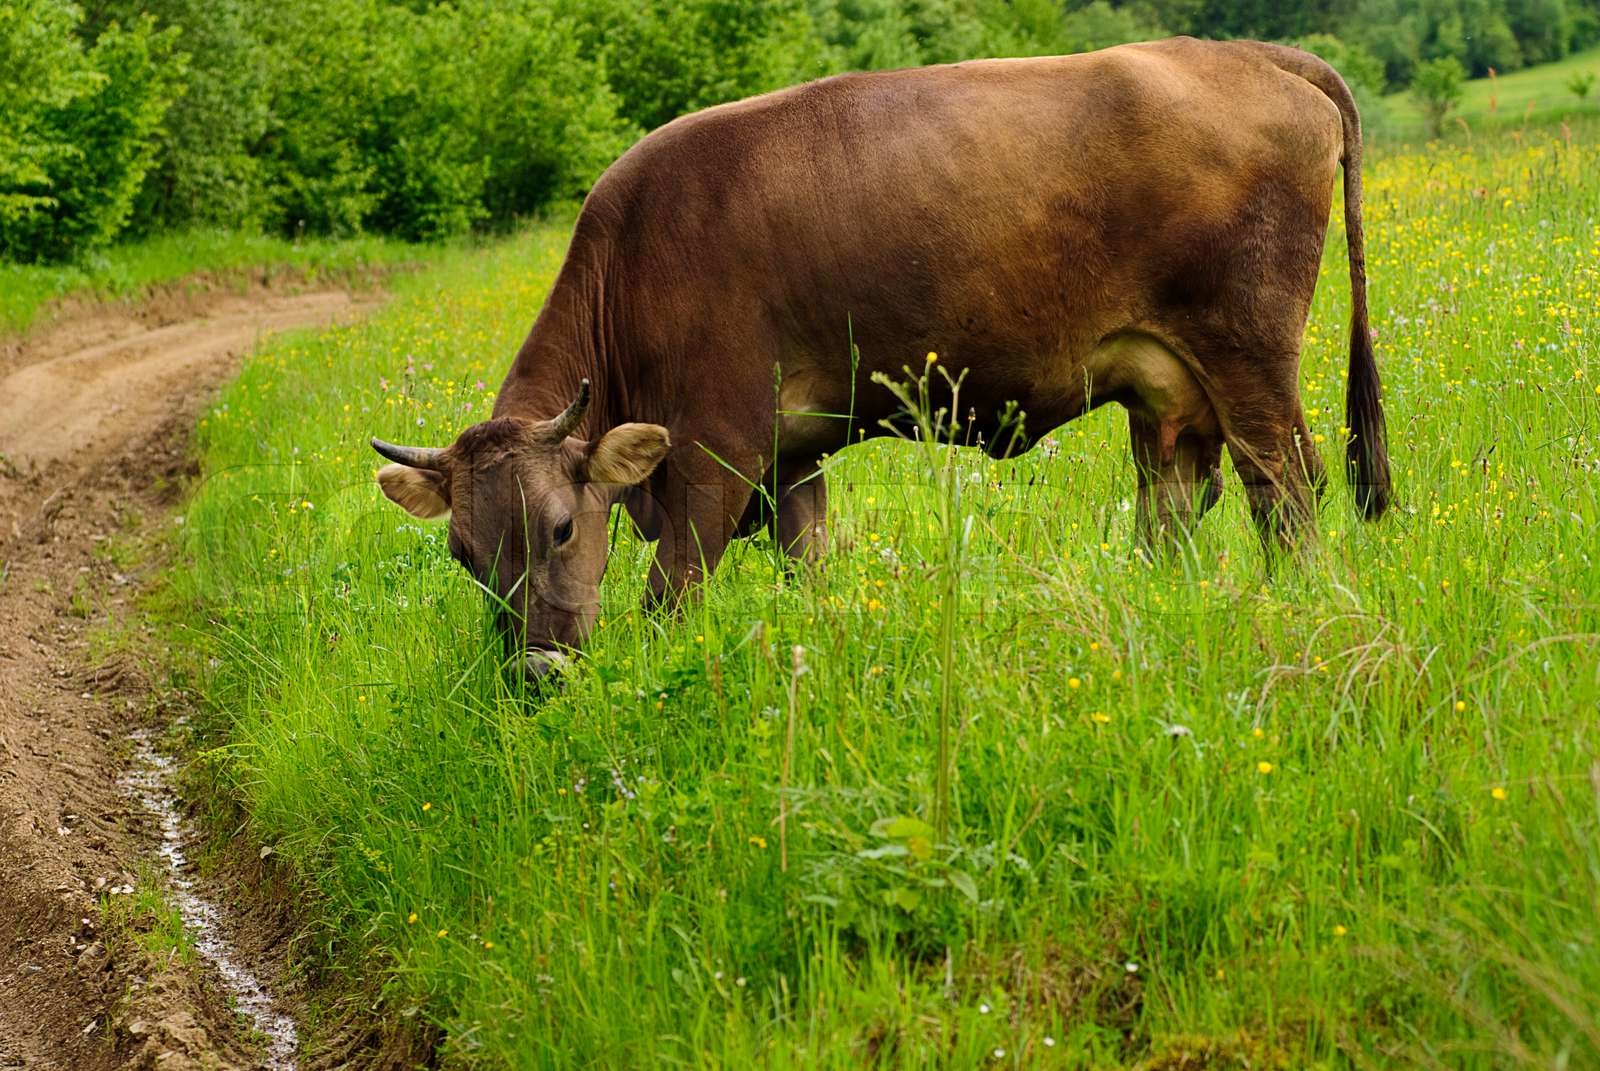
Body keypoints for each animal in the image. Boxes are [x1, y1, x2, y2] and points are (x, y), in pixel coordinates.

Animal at [370, 36, 1392, 679]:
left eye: (559, 528)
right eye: (464, 552)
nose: (535, 673)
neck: (633, 263)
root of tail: (1249, 54)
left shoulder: (712, 457)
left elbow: (672, 596)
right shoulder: (792, 459)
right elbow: (810, 566)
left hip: (1250, 360)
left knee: (1287, 494)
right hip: (1168, 388)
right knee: (1175, 504)